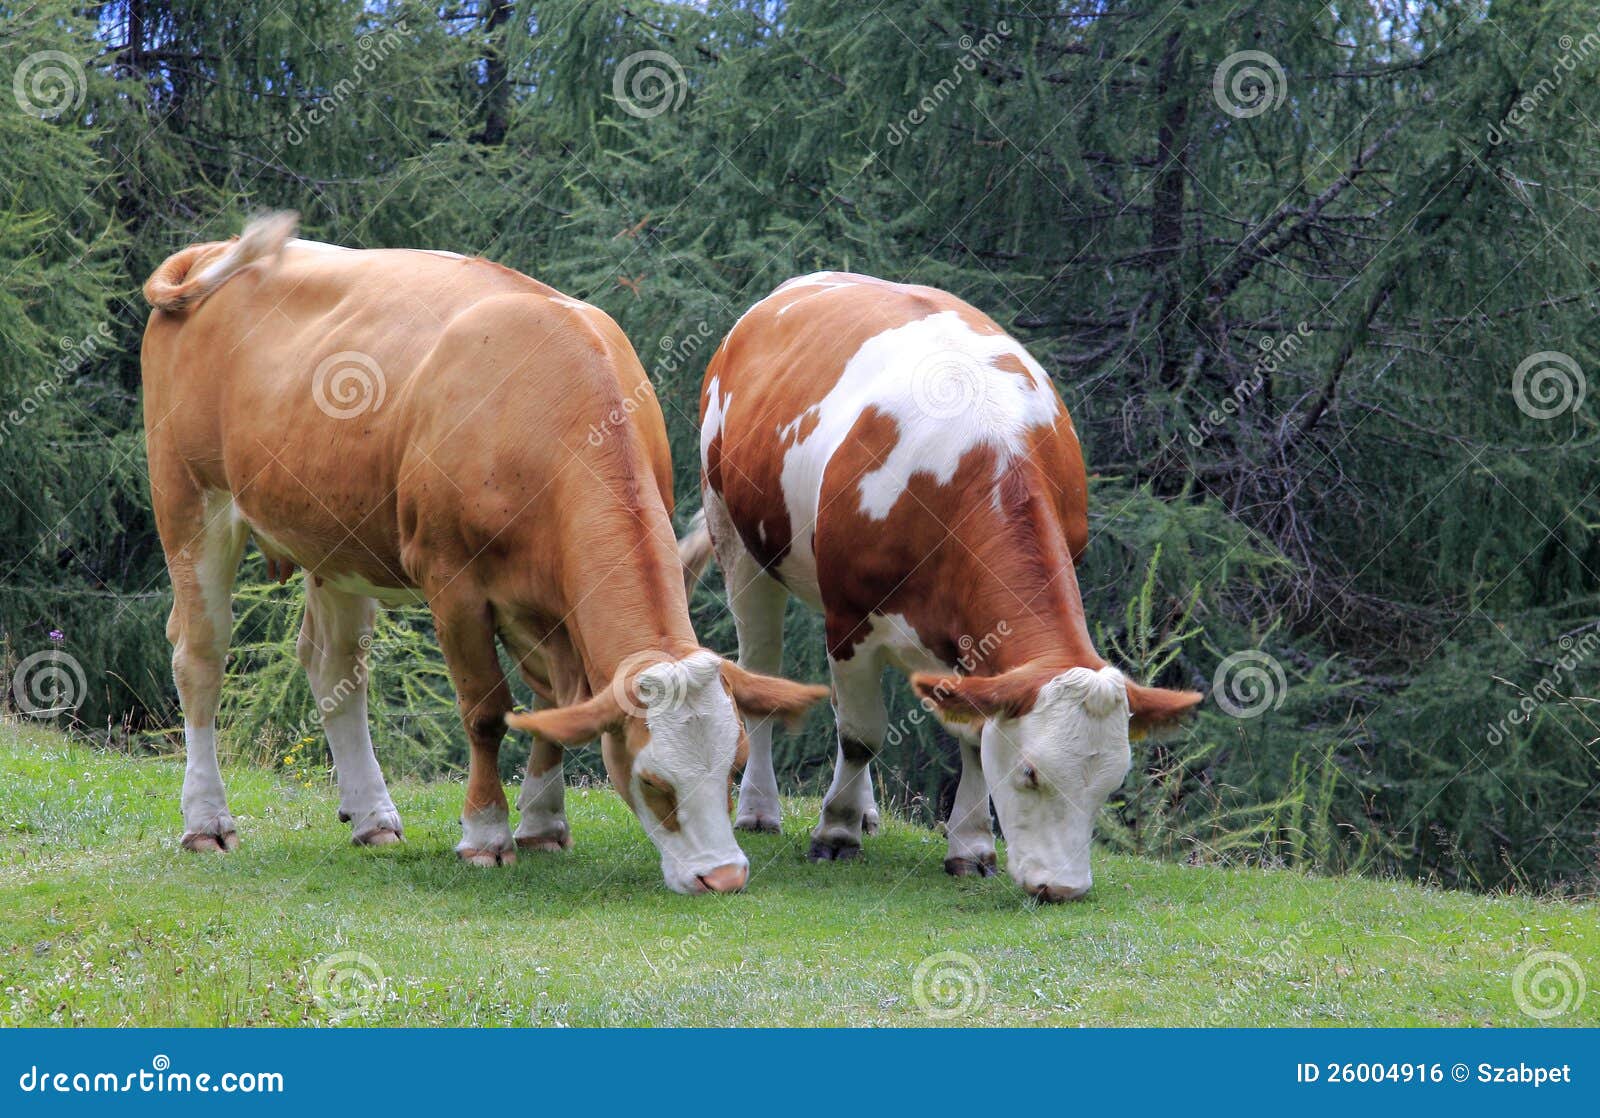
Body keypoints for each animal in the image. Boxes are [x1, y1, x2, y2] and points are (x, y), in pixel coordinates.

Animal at [140, 213, 827, 895]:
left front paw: (543, 824)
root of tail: (214, 248)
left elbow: (558, 706)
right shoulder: (454, 584)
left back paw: (372, 818)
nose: (725, 877)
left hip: (335, 539)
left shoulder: (550, 601)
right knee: (199, 654)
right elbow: (487, 712)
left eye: (735, 765)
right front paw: (487, 835)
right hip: (189, 499)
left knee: (333, 664)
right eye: (656, 781)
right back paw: (206, 821)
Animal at [686, 272, 1203, 901]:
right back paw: (760, 809)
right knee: (763, 669)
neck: (984, 453)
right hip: (738, 541)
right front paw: (835, 833)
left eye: (1111, 782)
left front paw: (971, 847)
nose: (1064, 888)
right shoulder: (850, 616)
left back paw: (866, 810)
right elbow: (860, 734)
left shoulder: (976, 645)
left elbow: (971, 736)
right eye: (1030, 772)